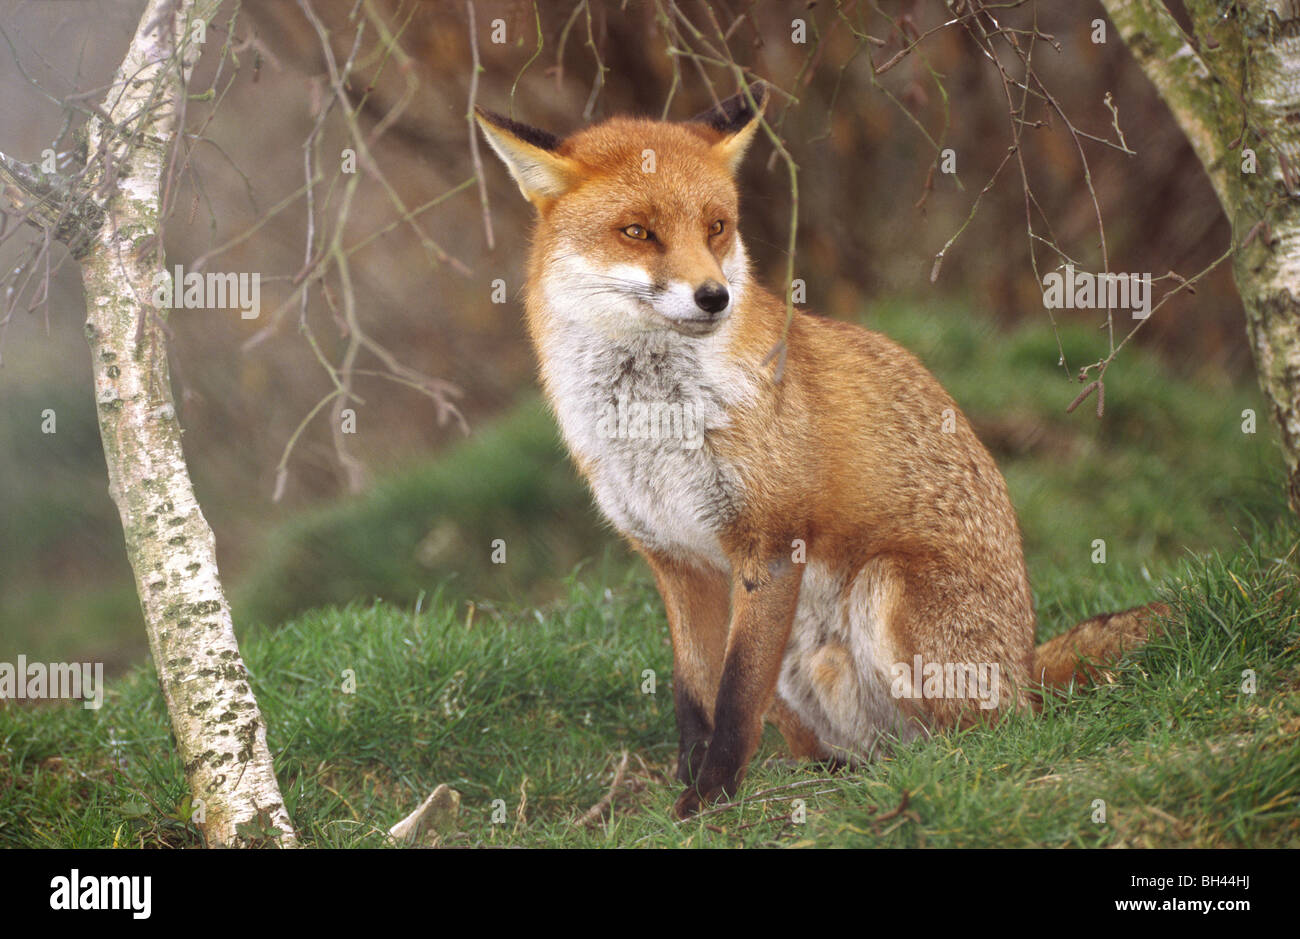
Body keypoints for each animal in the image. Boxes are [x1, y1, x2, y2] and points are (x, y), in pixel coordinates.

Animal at [475, 82, 1168, 819]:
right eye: (638, 231)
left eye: (716, 227)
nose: (714, 296)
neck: (655, 420)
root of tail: (1024, 662)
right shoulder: (676, 561)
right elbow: (694, 699)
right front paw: (687, 797)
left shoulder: (770, 545)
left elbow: (733, 701)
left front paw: (710, 801)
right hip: (804, 668)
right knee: (859, 747)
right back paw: (845, 773)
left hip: (885, 591)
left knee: (993, 731)